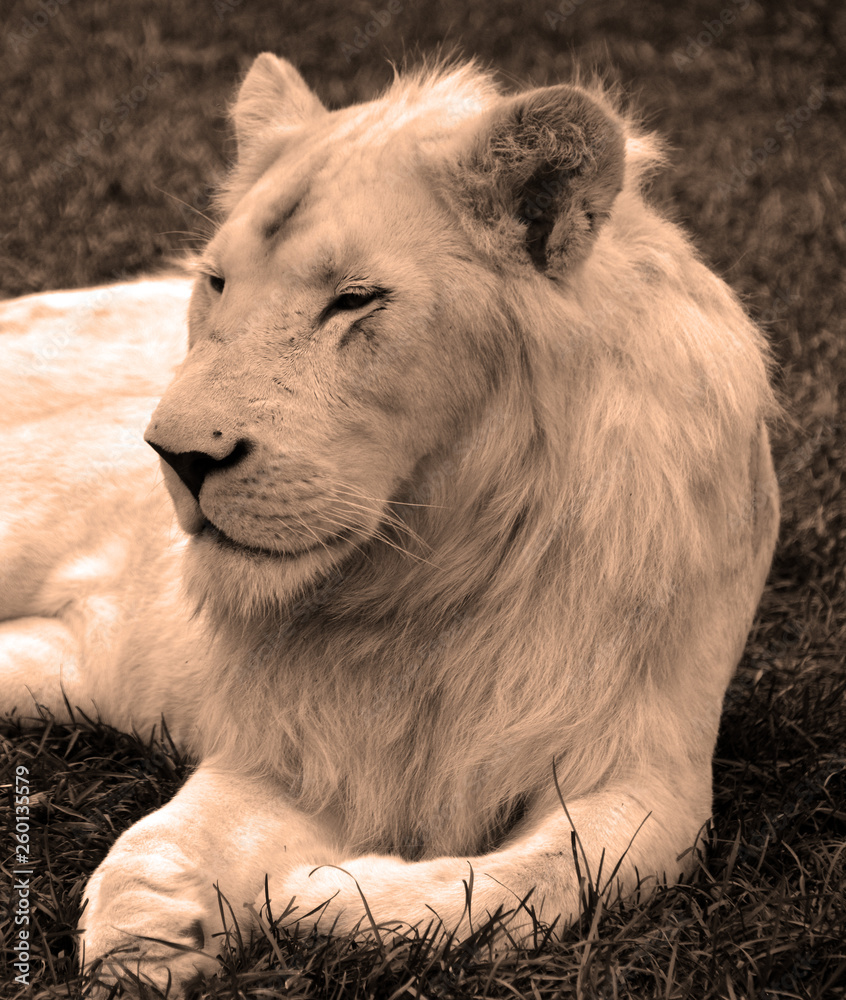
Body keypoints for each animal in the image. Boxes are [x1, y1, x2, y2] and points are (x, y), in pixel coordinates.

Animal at [0, 54, 779, 994]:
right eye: (217, 283)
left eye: (354, 300)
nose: (176, 456)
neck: (430, 574)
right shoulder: (289, 748)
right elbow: (170, 836)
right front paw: (144, 939)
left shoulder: (651, 769)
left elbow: (538, 882)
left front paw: (318, 898)